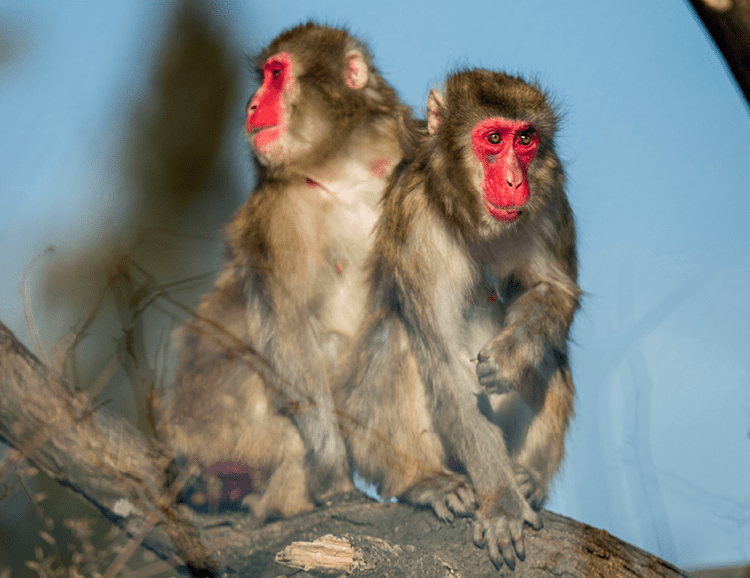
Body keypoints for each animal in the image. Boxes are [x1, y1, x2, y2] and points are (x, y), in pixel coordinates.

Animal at [165, 22, 423, 521]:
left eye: (276, 74)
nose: (251, 104)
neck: (345, 168)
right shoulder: (280, 209)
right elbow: (286, 324)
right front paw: (332, 473)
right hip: (228, 435)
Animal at [337, 69, 580, 569]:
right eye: (494, 138)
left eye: (525, 139)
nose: (515, 182)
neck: (476, 222)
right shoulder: (416, 222)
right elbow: (446, 361)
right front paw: (502, 503)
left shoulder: (551, 198)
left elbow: (554, 291)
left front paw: (510, 356)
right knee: (400, 335)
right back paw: (424, 481)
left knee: (553, 349)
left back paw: (528, 477)